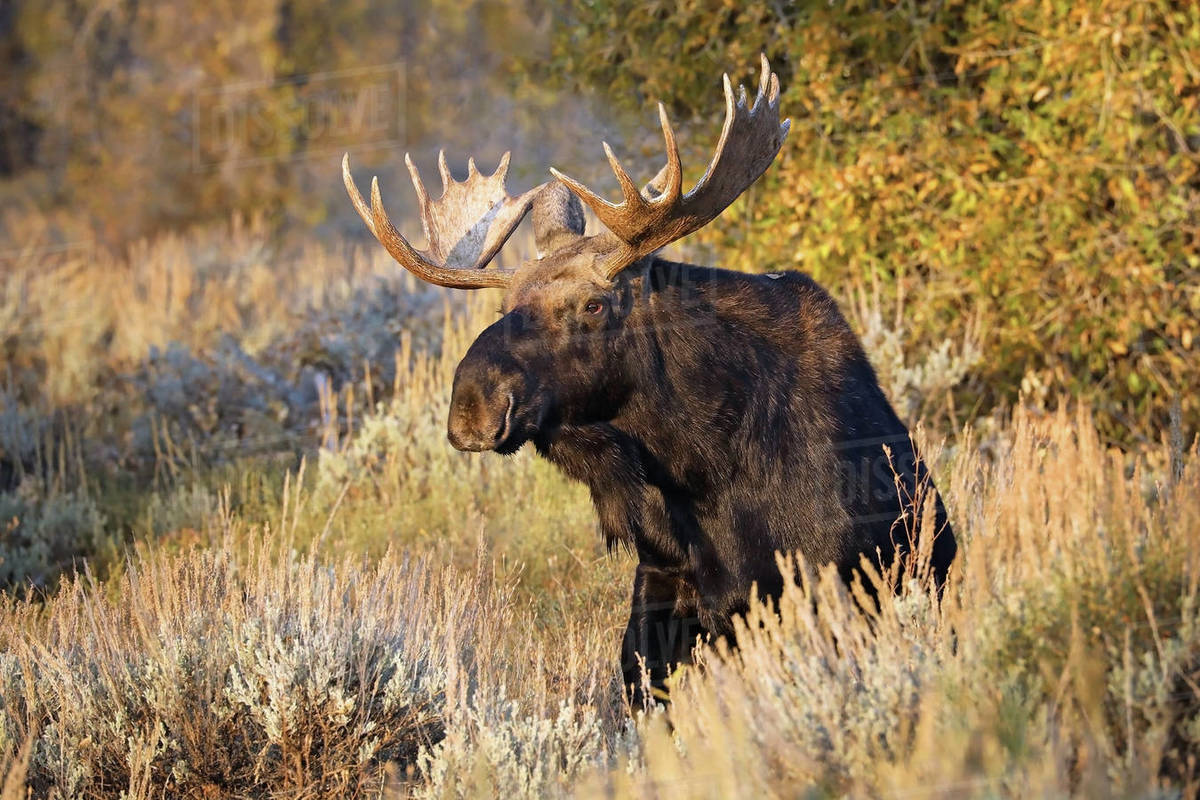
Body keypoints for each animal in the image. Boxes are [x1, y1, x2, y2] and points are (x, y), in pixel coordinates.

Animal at [343, 56, 956, 707]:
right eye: (504, 305)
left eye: (594, 305)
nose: (472, 406)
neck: (707, 469)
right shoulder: (660, 589)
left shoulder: (832, 581)